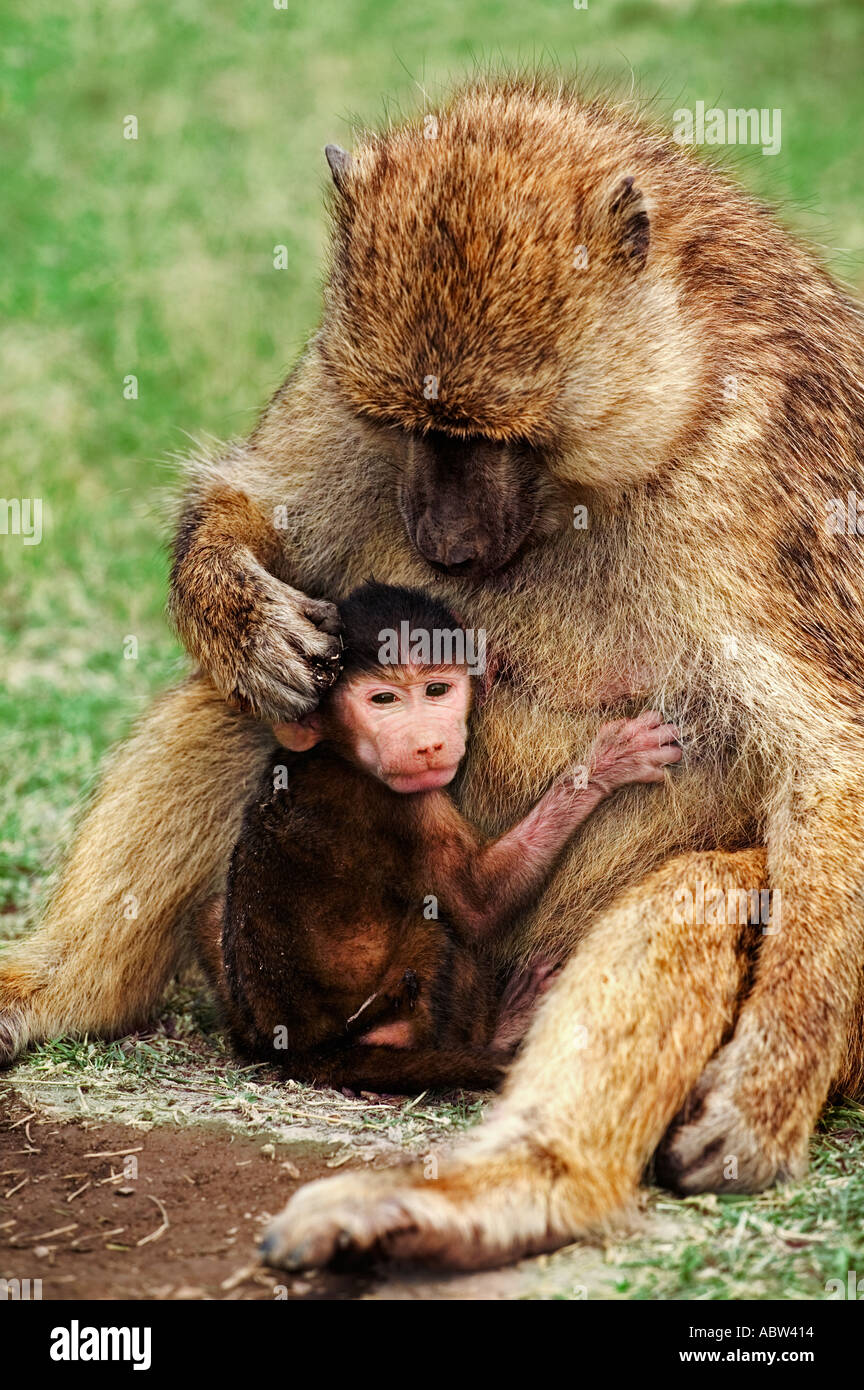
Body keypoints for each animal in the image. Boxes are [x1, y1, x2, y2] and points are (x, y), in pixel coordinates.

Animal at [192, 580, 682, 1093]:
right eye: (383, 701)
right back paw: (501, 1030)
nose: (427, 743)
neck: (337, 754)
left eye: (436, 690)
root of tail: (306, 1052)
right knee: (437, 927)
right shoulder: (408, 807)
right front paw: (605, 766)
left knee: (212, 912)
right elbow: (478, 903)